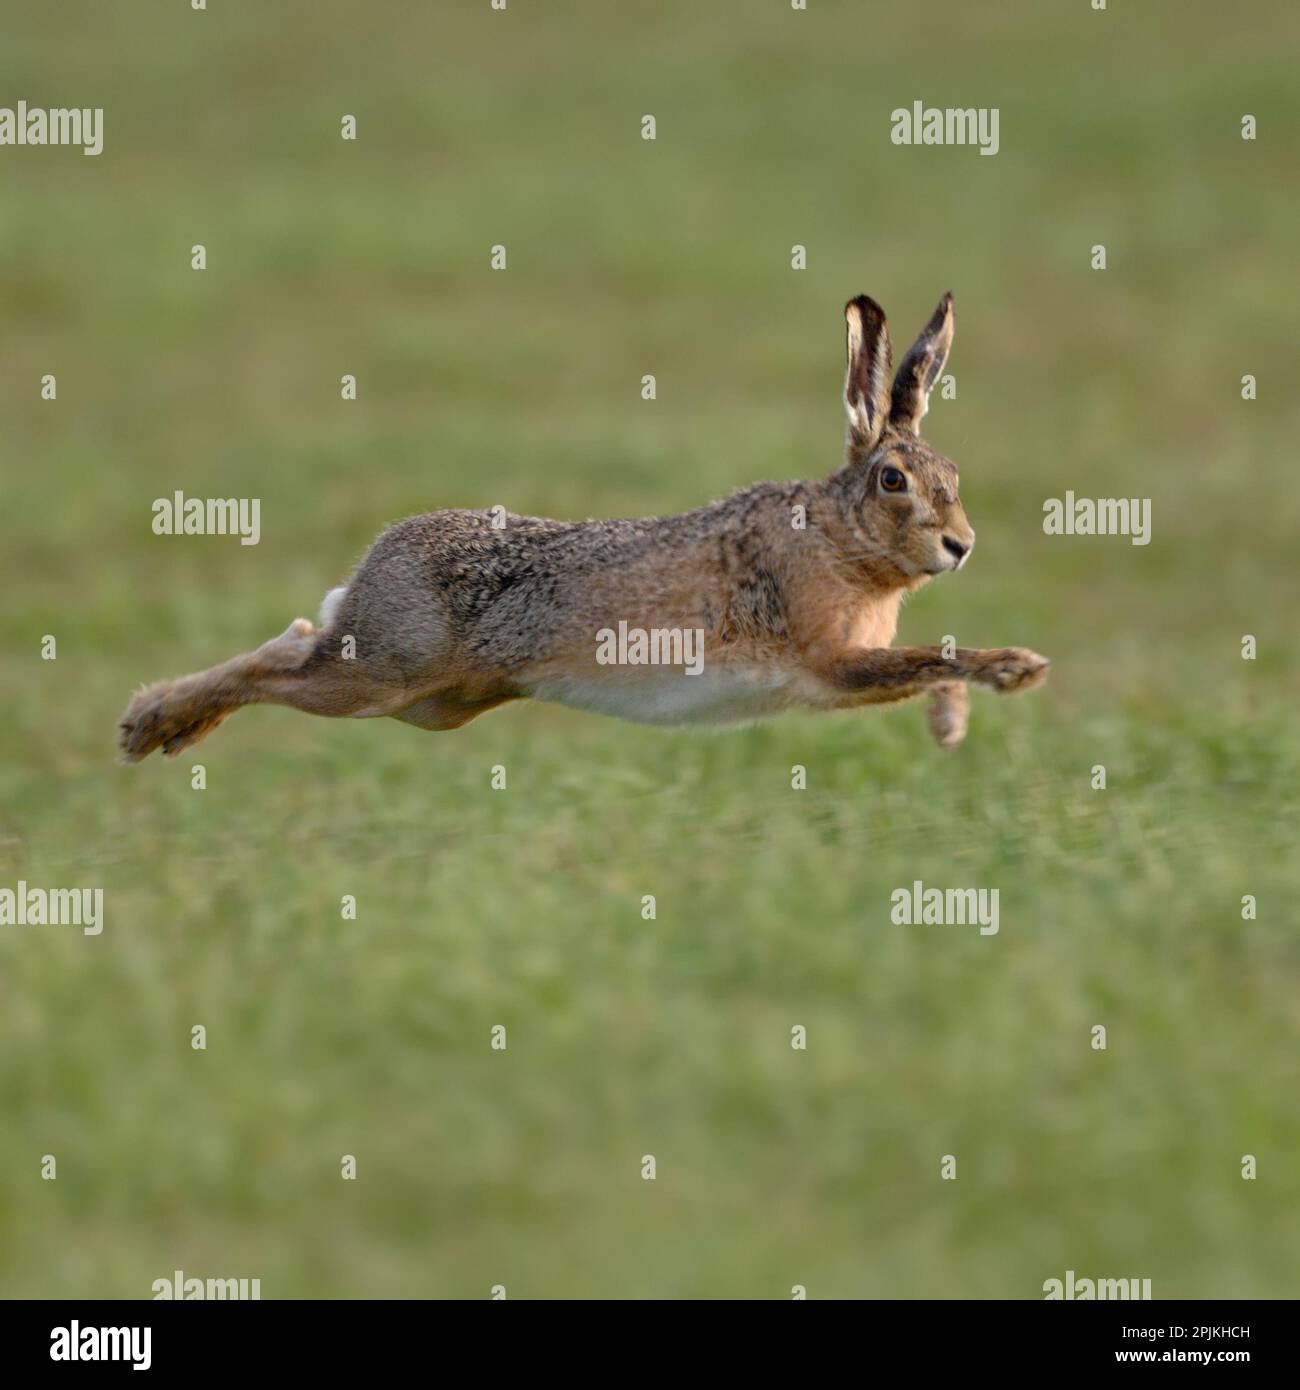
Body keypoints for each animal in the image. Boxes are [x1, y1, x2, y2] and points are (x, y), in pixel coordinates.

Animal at [118, 290, 1048, 763]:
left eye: (953, 476)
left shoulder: (847, 669)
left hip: (433, 704)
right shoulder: (830, 659)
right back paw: (149, 725)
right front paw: (1016, 670)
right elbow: (934, 655)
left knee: (297, 641)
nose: (961, 545)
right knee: (278, 668)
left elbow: (927, 665)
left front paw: (952, 725)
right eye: (894, 480)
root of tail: (379, 558)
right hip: (382, 675)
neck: (832, 534)